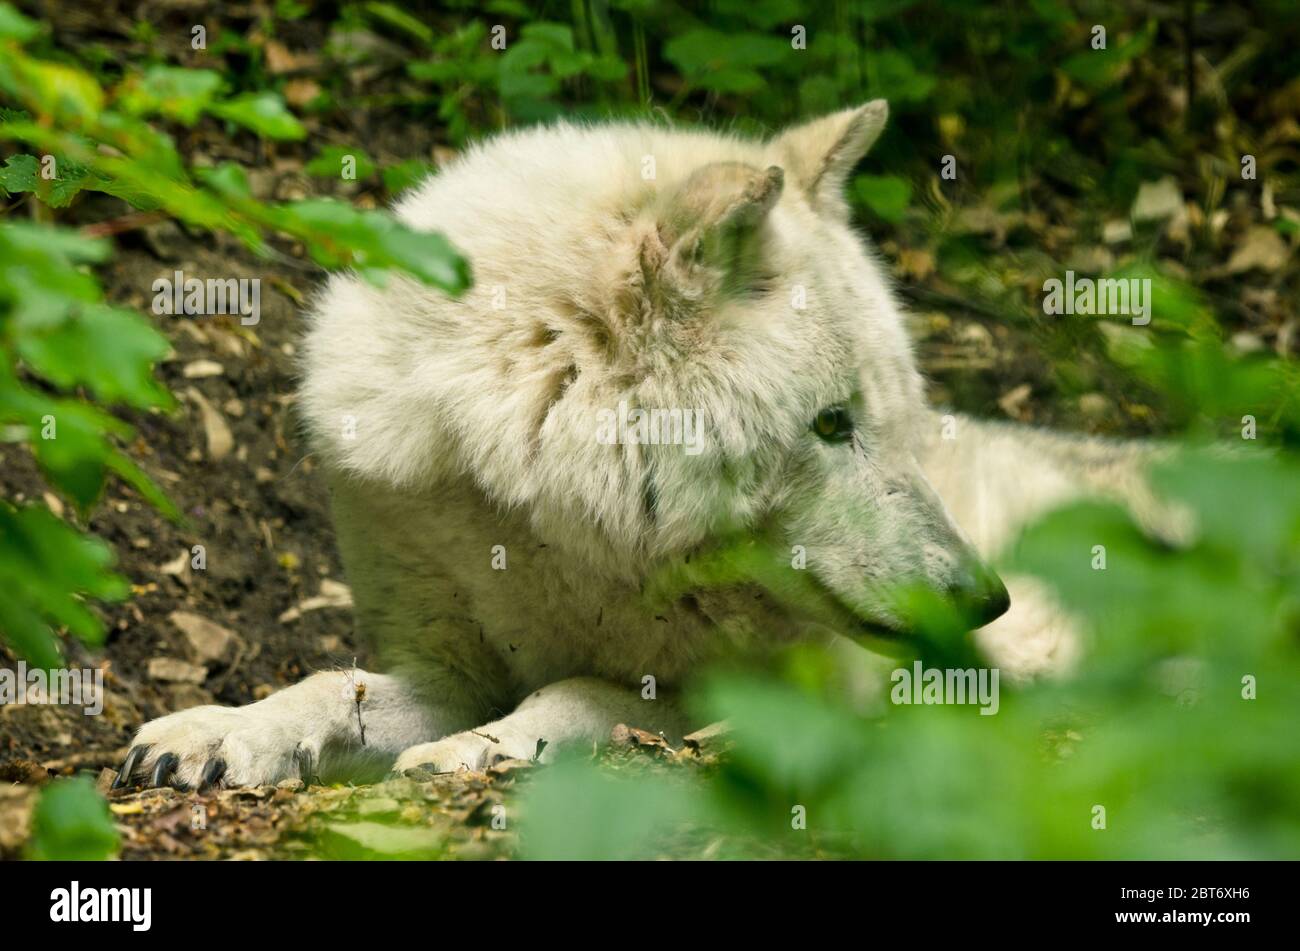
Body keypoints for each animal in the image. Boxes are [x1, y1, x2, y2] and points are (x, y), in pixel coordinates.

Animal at [117, 100, 1168, 790]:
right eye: (833, 423)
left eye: (896, 420)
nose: (983, 599)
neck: (557, 530)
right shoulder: (444, 662)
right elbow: (329, 687)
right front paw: (220, 733)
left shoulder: (755, 691)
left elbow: (583, 691)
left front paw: (484, 749)